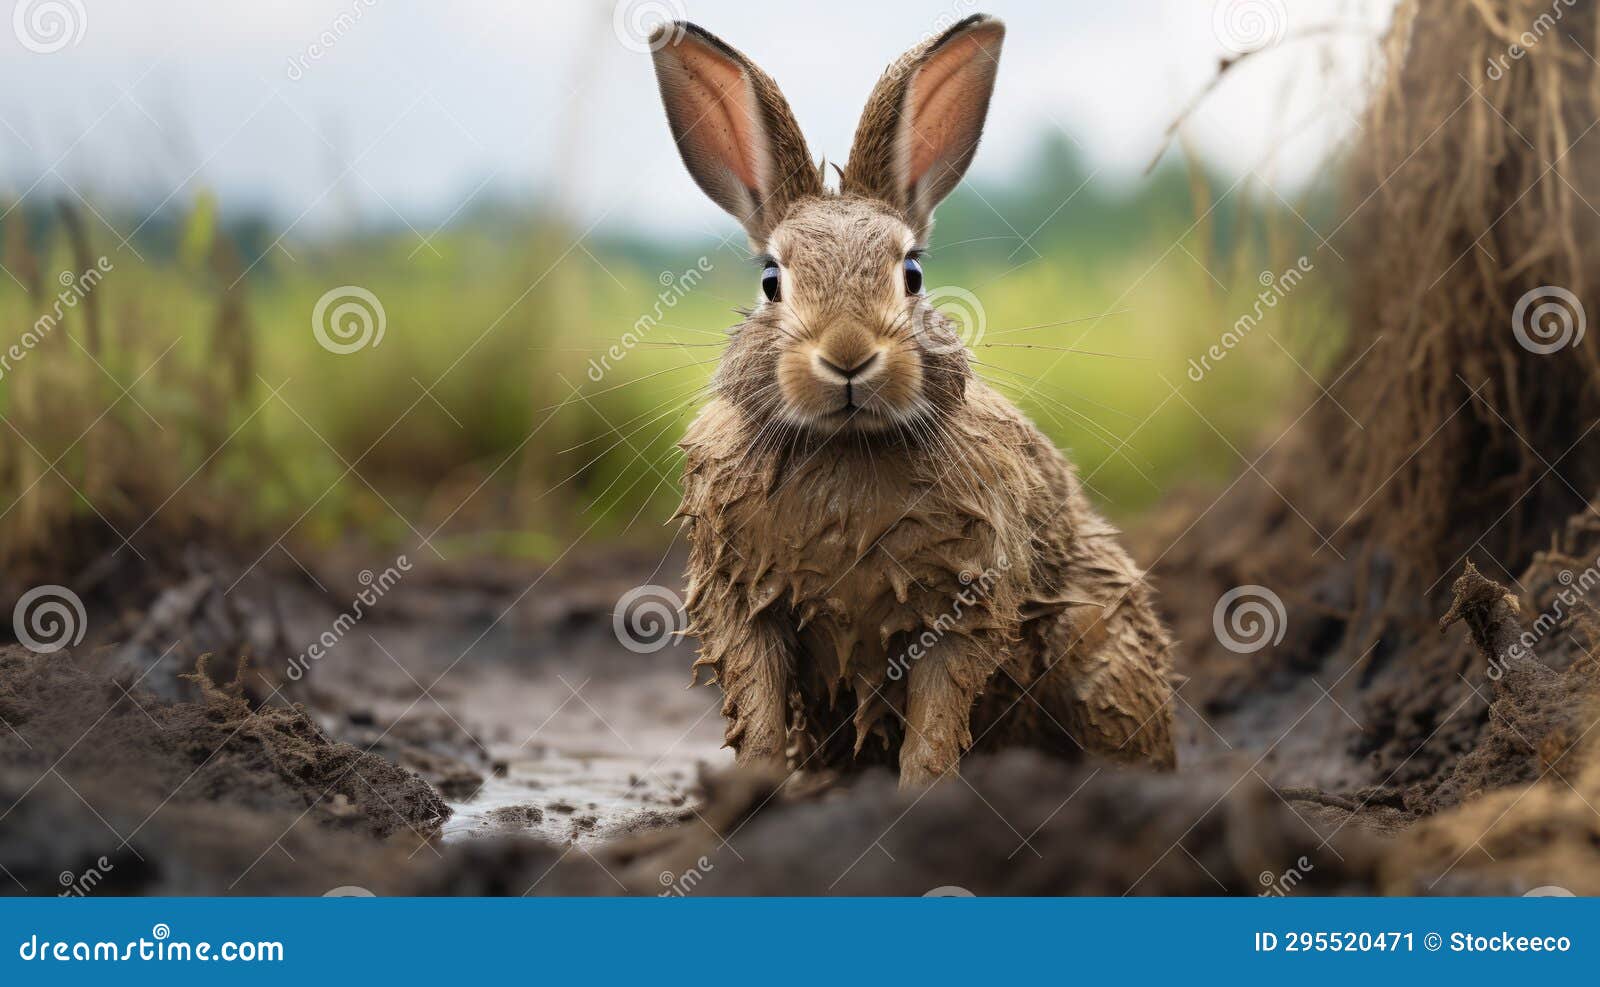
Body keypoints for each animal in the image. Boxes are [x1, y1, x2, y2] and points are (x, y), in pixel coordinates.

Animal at [650, 15, 1176, 787]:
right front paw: (752, 794)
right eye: (772, 280)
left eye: (913, 274)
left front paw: (922, 794)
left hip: (1098, 649)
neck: (845, 444)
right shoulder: (739, 601)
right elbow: (757, 705)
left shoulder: (966, 603)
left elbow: (936, 715)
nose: (847, 353)